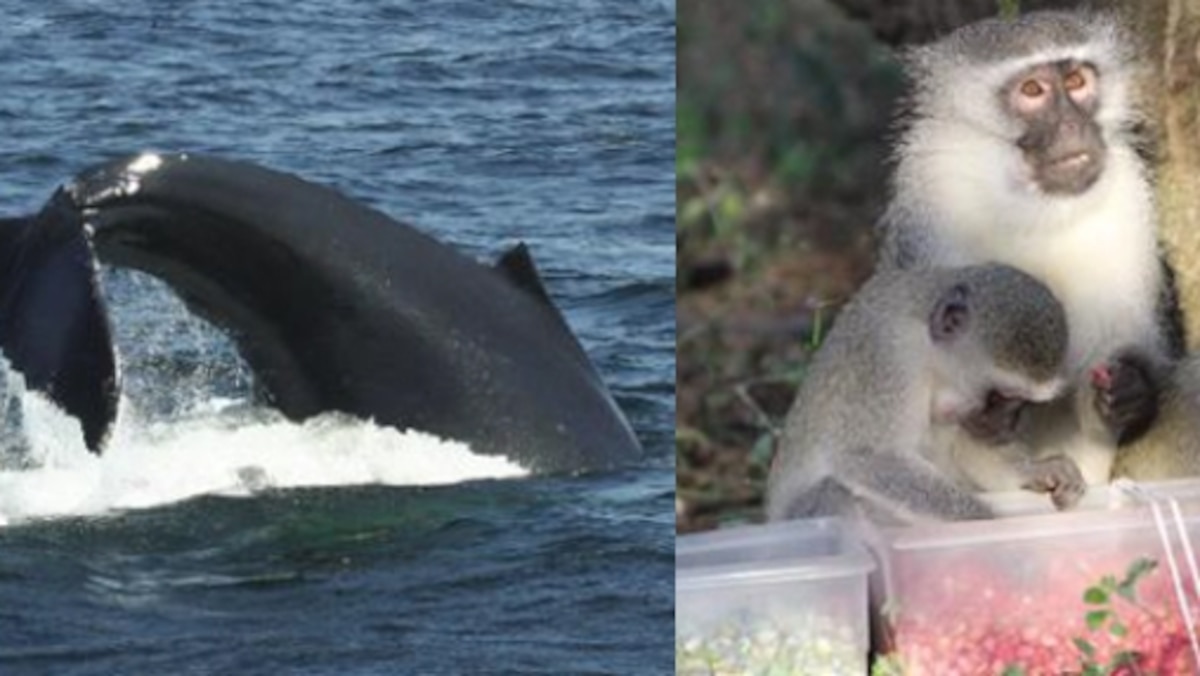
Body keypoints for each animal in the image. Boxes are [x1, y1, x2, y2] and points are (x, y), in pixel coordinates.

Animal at [765, 263, 1083, 525]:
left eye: (1019, 402)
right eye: (999, 396)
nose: (1006, 426)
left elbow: (966, 446)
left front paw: (1035, 471)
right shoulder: (889, 359)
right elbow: (868, 456)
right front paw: (989, 520)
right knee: (835, 494)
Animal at [875, 10, 1185, 487]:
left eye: (1076, 80)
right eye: (1033, 91)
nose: (1074, 125)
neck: (1035, 210)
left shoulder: (1126, 205)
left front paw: (1128, 394)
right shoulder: (937, 208)